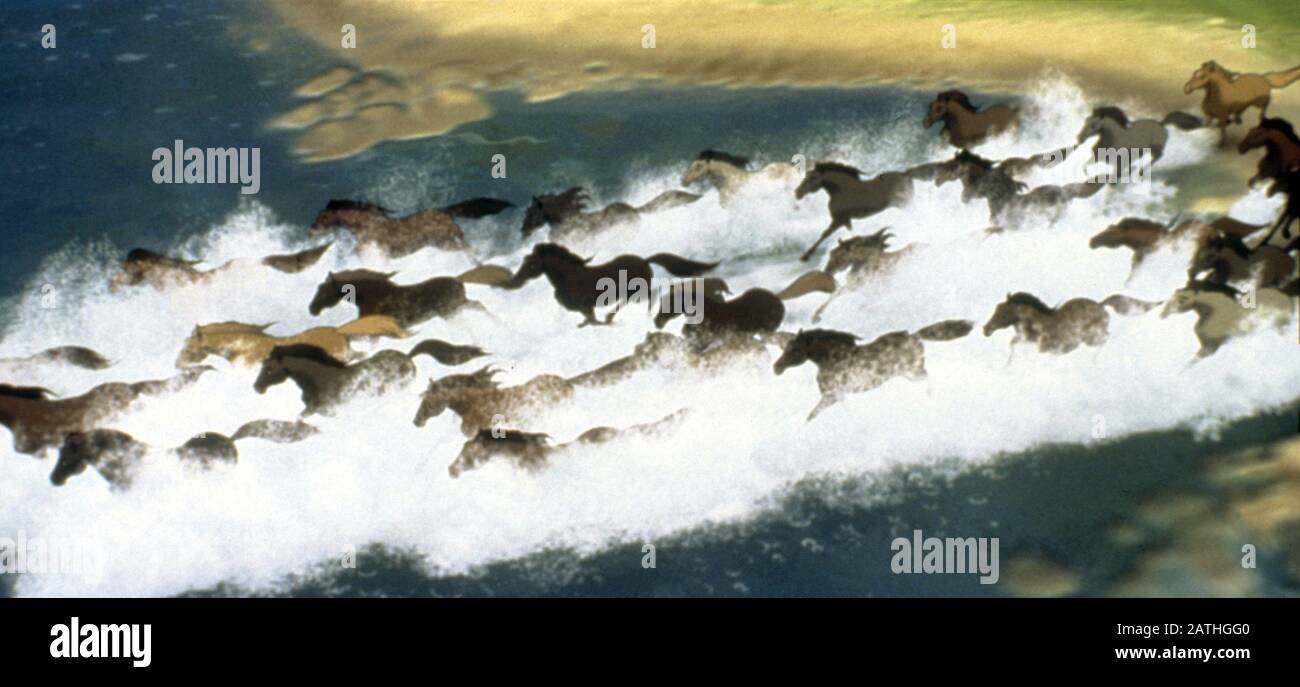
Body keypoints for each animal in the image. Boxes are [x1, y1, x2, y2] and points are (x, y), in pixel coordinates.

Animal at [308, 269, 485, 328]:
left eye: (323, 292)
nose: (312, 309)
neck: (364, 297)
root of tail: (460, 283)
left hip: (451, 312)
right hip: (457, 308)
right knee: (479, 305)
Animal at [309, 197, 513, 257]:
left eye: (321, 217)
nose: (311, 231)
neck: (365, 225)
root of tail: (446, 211)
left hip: (445, 243)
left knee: (467, 248)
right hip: (452, 239)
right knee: (470, 247)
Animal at [504, 243, 719, 326]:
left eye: (532, 264)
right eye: (525, 261)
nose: (515, 281)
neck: (569, 277)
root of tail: (645, 260)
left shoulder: (586, 307)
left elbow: (594, 321)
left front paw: (605, 323)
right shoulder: (583, 310)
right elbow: (588, 322)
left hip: (636, 290)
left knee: (648, 295)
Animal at [773, 321, 974, 421]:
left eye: (794, 350)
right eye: (785, 347)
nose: (776, 367)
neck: (831, 357)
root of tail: (914, 335)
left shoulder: (833, 395)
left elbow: (812, 415)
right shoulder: (838, 395)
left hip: (913, 371)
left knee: (927, 378)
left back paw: (931, 396)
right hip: (908, 373)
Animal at [982, 292, 1160, 356]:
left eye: (1005, 313)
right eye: (997, 308)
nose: (986, 329)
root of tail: (1101, 305)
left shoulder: (1046, 349)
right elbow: (1013, 346)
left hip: (1091, 338)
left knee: (1107, 339)